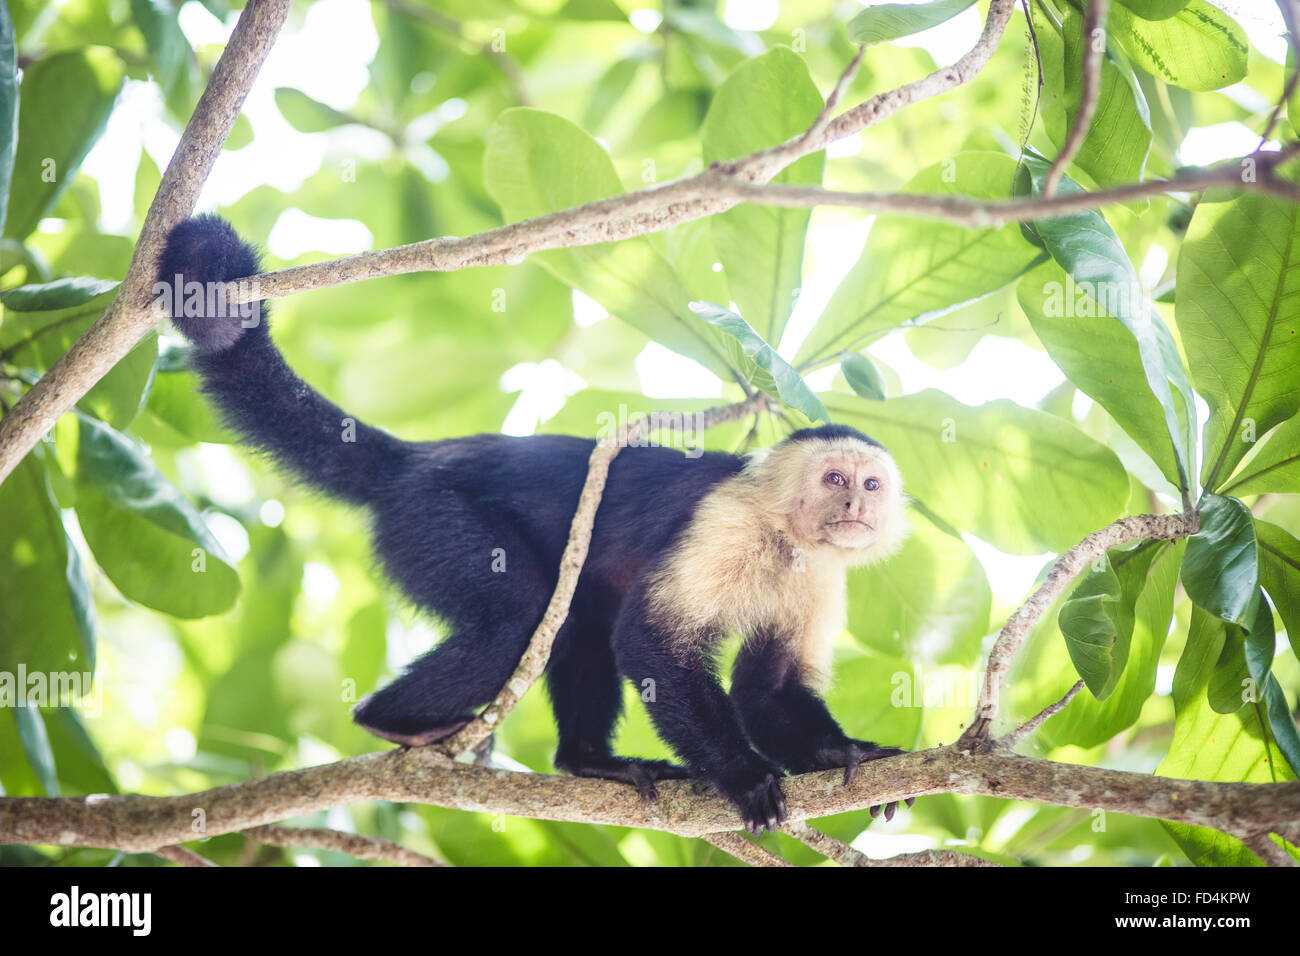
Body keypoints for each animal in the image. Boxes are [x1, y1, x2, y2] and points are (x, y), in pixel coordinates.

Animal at [157, 214, 910, 833]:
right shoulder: (723, 523)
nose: (855, 508)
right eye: (834, 480)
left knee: (578, 619)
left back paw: (586, 760)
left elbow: (769, 689)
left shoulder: (822, 576)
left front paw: (848, 751)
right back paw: (393, 723)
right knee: (522, 614)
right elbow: (651, 643)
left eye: (870, 485)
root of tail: (418, 458)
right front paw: (744, 776)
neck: (784, 538)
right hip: (432, 515)